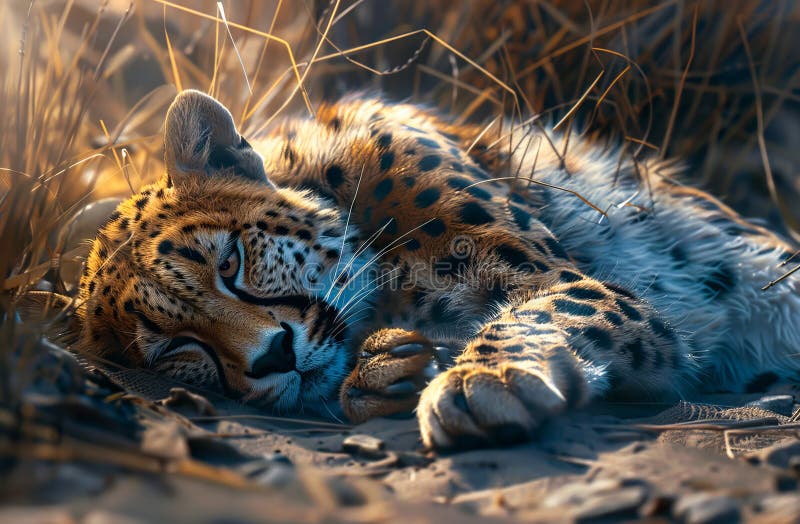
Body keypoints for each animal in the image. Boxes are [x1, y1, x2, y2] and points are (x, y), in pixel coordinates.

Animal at [71, 89, 800, 449]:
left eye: (232, 261)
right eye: (177, 350)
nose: (271, 357)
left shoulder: (567, 280)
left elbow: (538, 312)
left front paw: (484, 379)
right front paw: (393, 371)